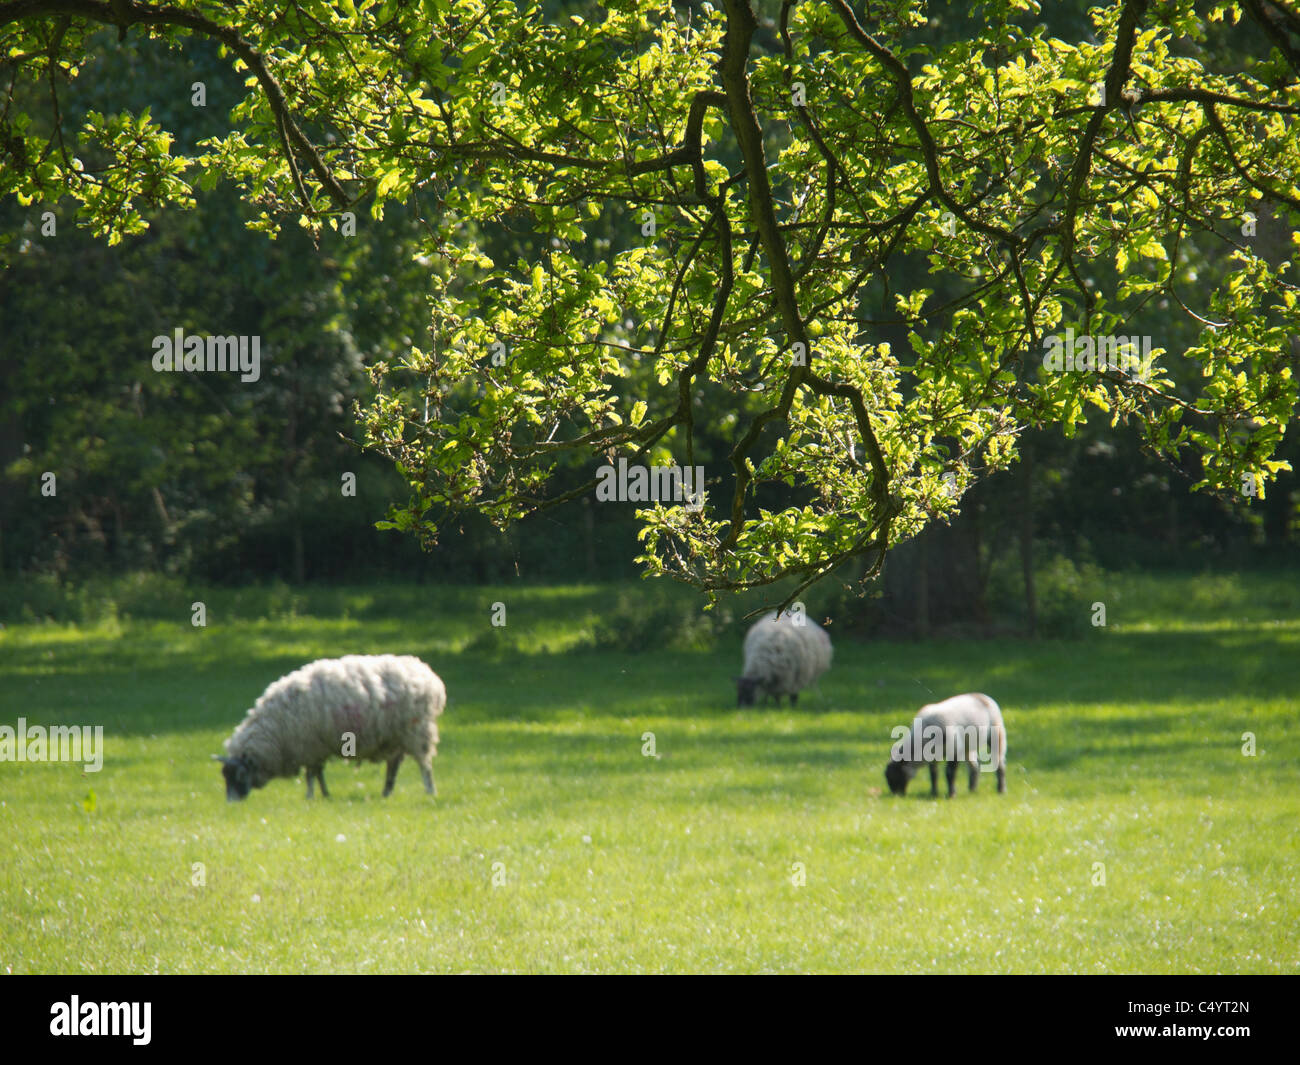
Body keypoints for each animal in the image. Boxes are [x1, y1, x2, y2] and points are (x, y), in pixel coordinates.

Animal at [215, 655, 445, 802]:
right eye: (225, 776)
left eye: (240, 775)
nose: (231, 804)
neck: (275, 730)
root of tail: (430, 677)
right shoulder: (315, 749)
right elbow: (318, 774)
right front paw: (325, 795)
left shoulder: (307, 746)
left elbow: (310, 775)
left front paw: (310, 797)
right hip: (395, 737)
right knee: (393, 766)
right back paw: (386, 793)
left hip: (416, 731)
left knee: (425, 765)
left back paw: (430, 791)